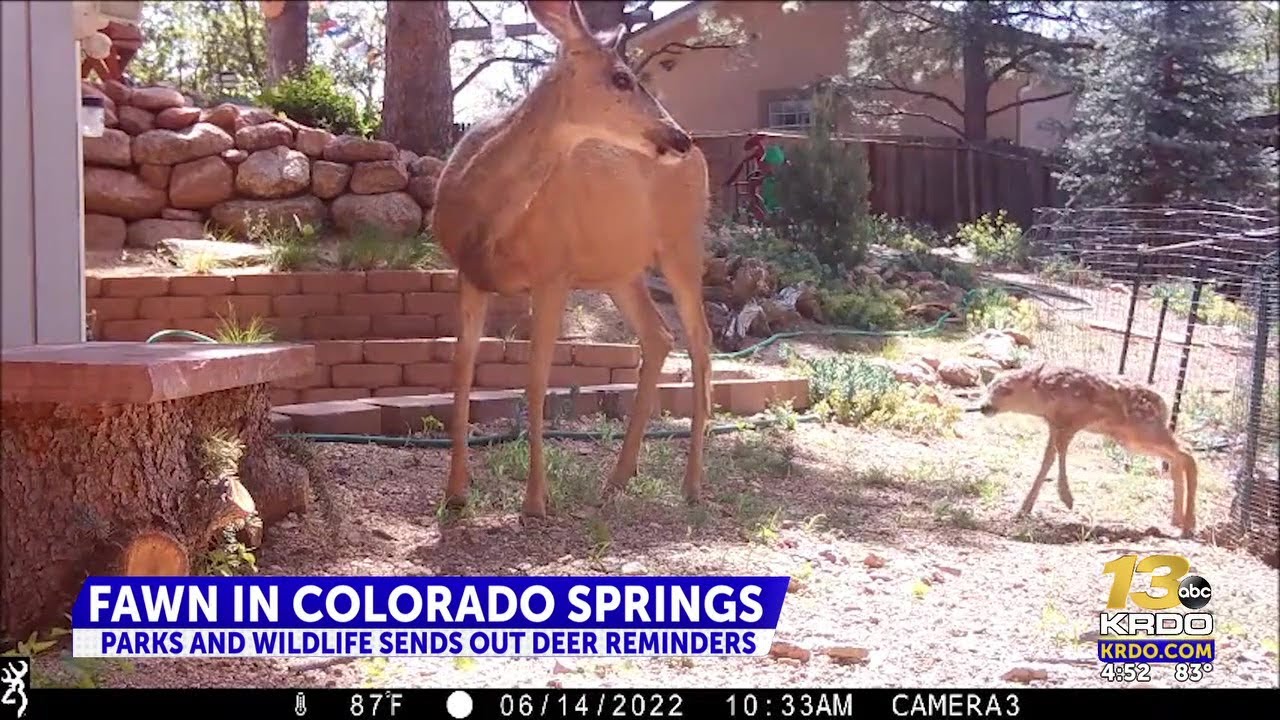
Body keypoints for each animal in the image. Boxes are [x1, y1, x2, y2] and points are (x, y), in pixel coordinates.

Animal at [429, 0, 713, 519]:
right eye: (621, 77)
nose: (679, 137)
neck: (485, 220)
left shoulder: (553, 272)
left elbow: (536, 380)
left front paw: (535, 501)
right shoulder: (469, 274)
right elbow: (460, 373)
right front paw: (455, 493)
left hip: (683, 242)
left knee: (700, 342)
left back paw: (691, 485)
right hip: (619, 269)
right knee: (659, 336)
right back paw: (619, 476)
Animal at [973, 361, 1199, 539]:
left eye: (1008, 389)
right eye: (989, 387)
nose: (984, 407)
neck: (1045, 396)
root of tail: (1165, 405)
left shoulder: (1071, 421)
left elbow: (1059, 452)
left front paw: (1066, 498)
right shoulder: (1055, 424)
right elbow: (1047, 459)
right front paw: (1023, 510)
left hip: (1142, 431)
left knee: (1187, 451)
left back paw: (1188, 526)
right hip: (1132, 439)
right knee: (1177, 456)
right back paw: (1177, 520)